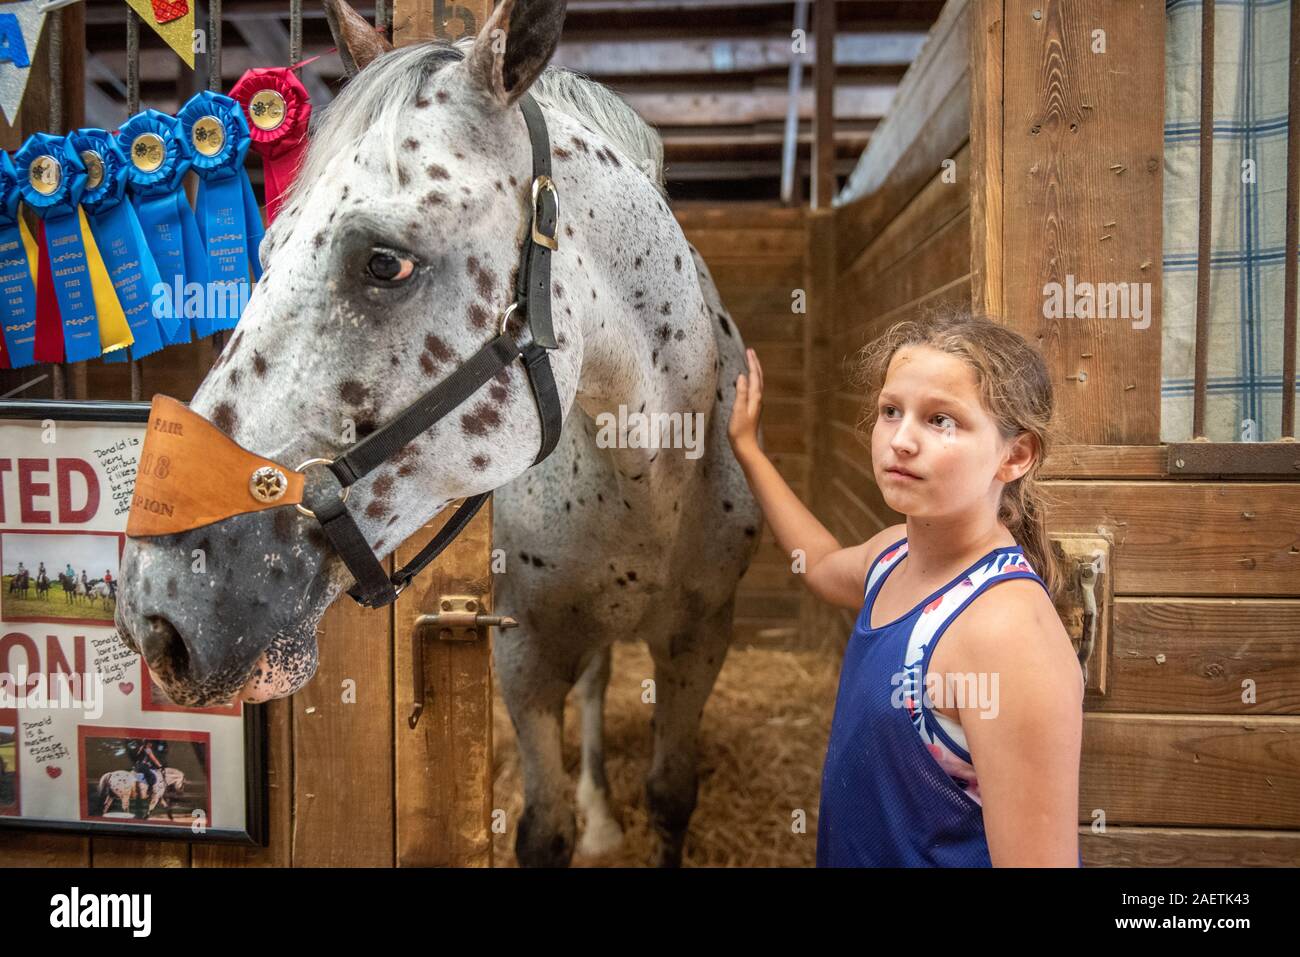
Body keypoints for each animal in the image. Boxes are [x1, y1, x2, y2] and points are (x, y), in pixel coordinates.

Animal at [114, 0, 762, 867]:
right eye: (267, 249)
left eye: (383, 262)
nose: (155, 617)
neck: (649, 478)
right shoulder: (525, 654)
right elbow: (544, 828)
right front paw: (582, 821)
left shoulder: (701, 639)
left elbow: (670, 796)